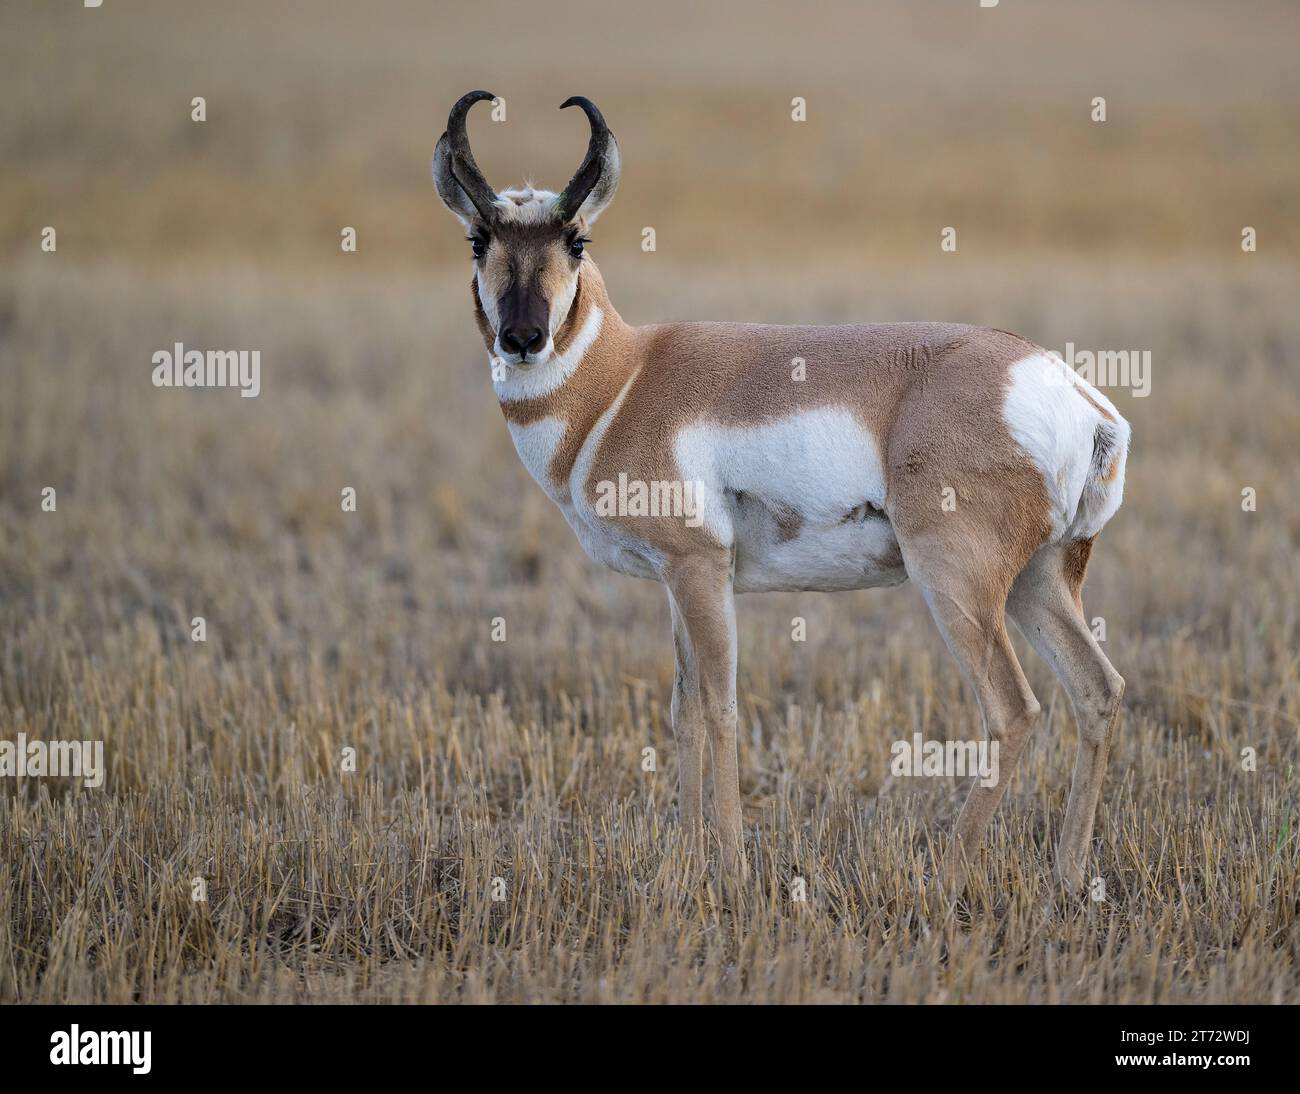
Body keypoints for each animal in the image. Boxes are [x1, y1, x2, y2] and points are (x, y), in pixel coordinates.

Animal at [432, 91, 1130, 893]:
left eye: (576, 240)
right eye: (478, 238)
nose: (523, 338)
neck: (624, 378)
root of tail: (1070, 392)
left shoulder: (700, 569)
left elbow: (720, 707)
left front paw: (732, 870)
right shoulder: (679, 580)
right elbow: (682, 709)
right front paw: (680, 864)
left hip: (957, 585)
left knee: (1014, 711)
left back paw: (946, 871)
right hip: (1039, 582)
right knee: (1098, 691)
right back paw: (1068, 876)